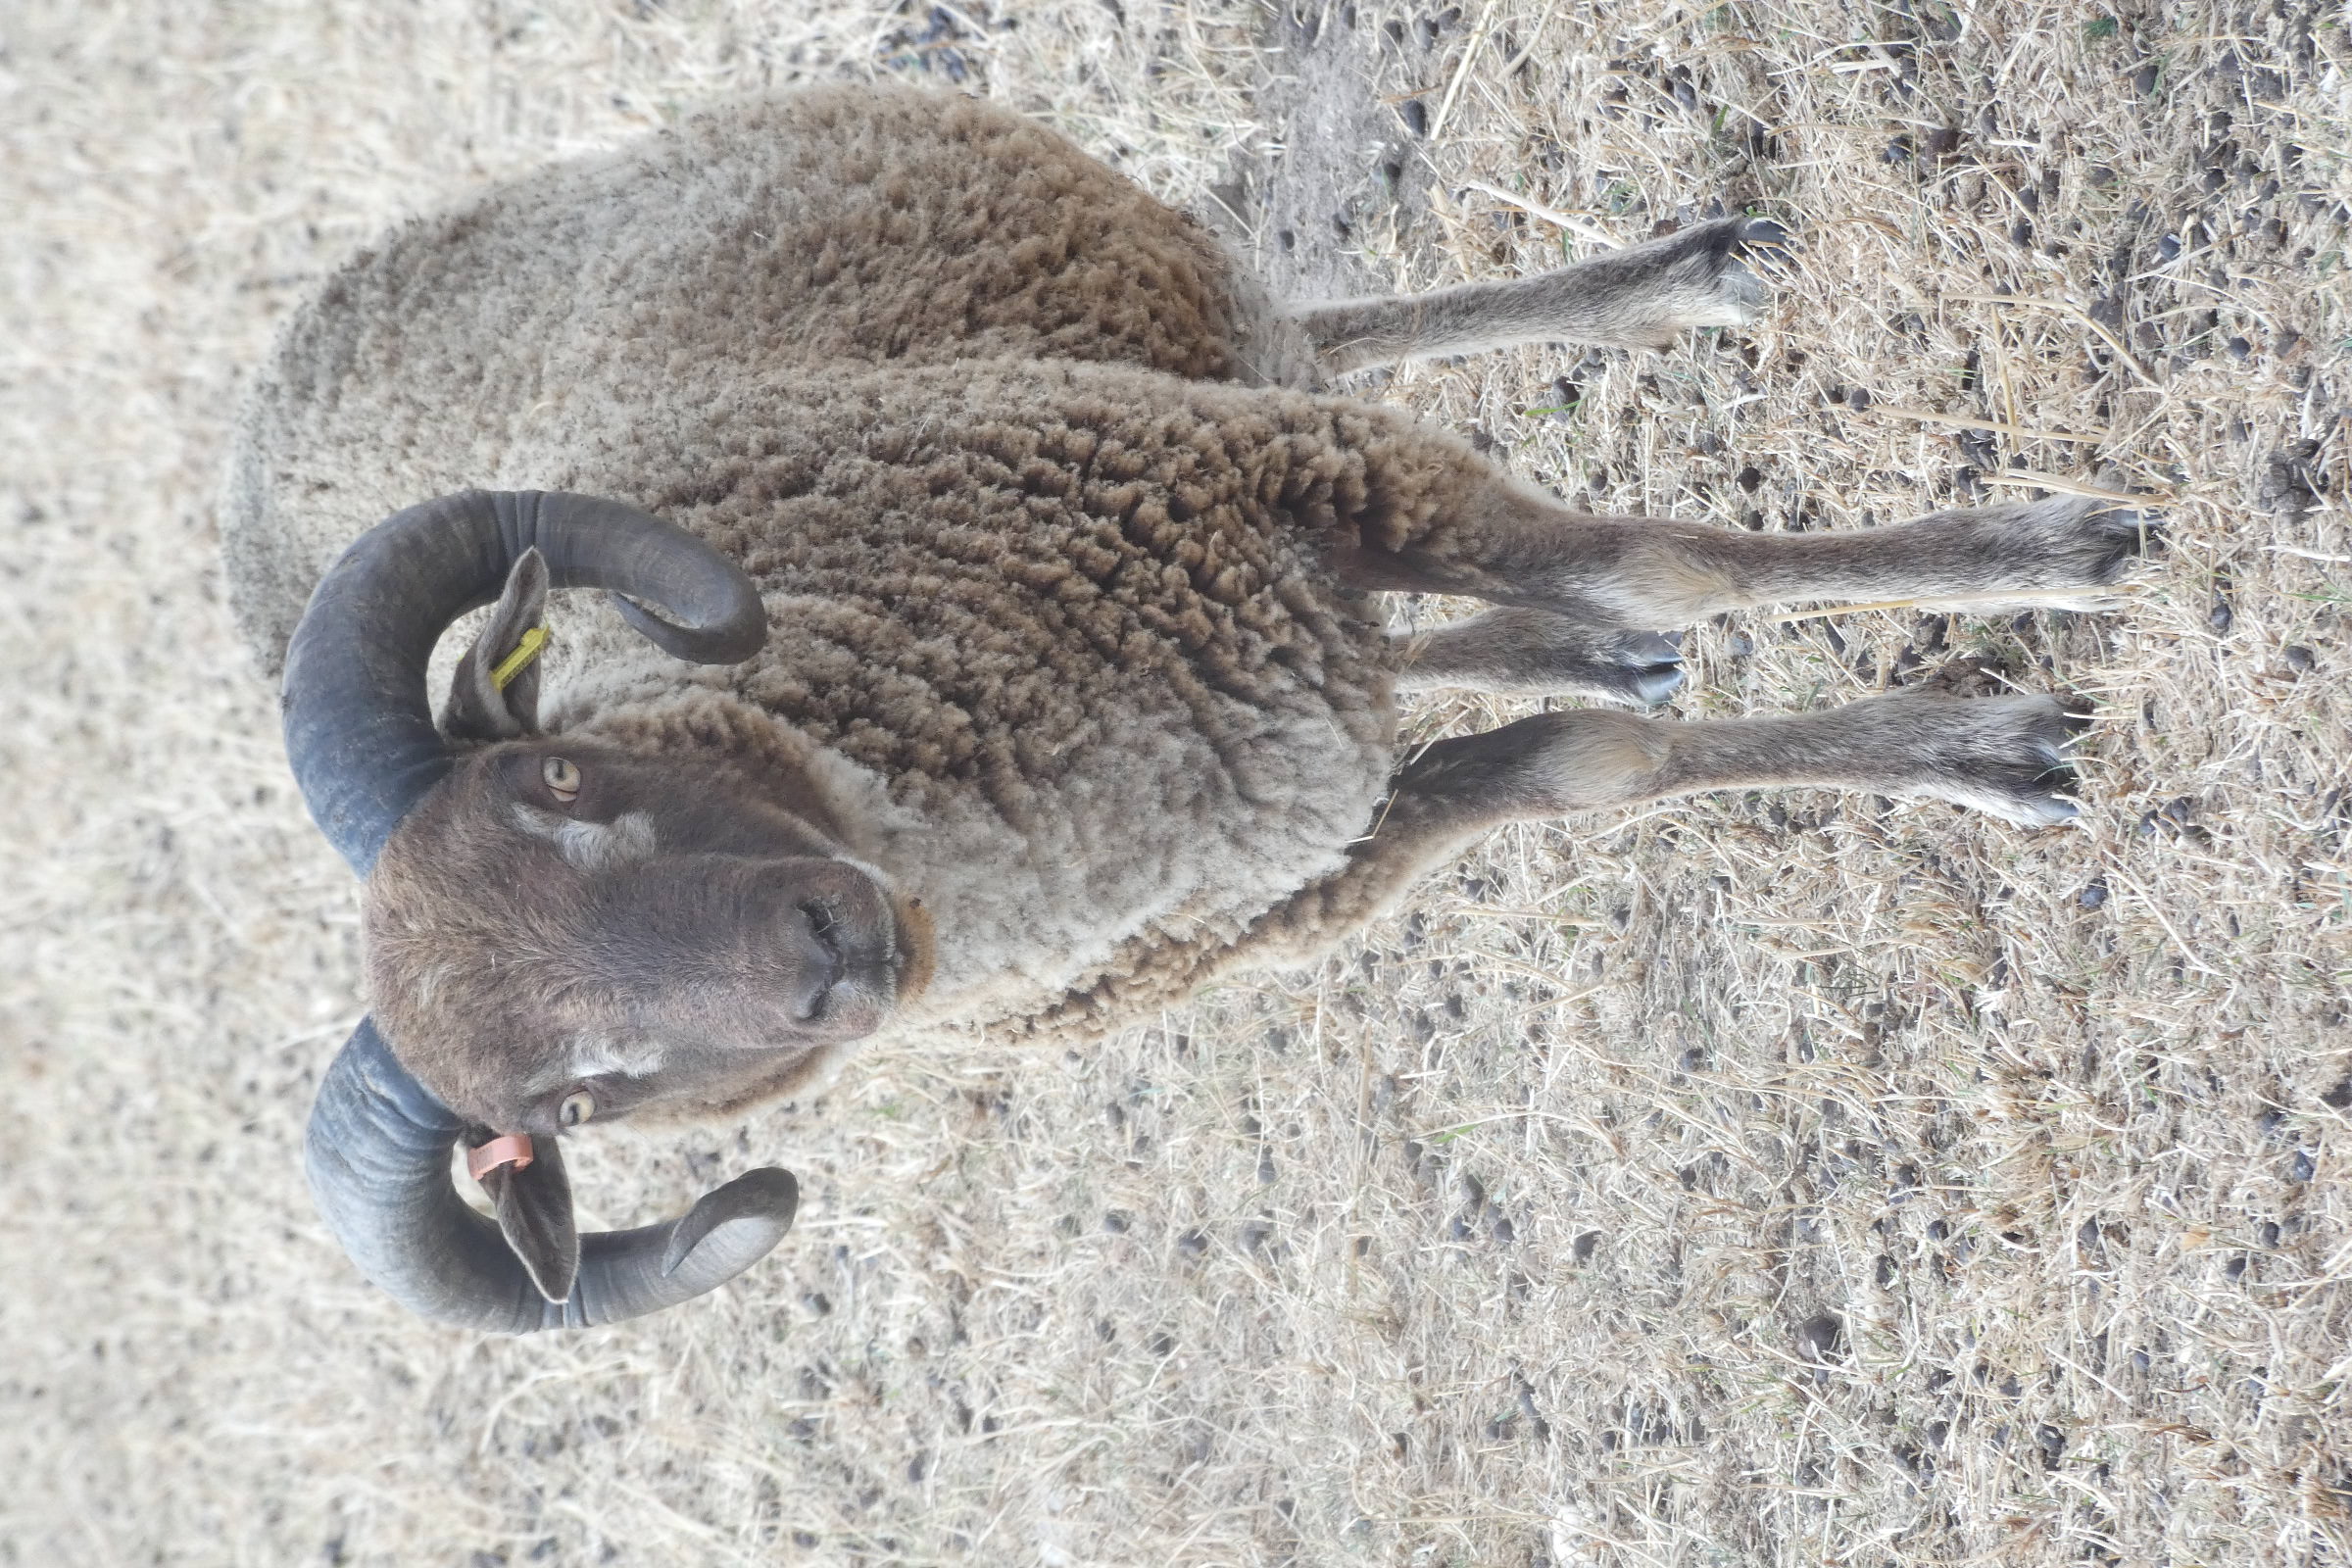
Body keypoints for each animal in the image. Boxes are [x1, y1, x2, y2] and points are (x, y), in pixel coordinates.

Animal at [226, 85, 2152, 1331]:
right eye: (575, 1110)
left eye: (561, 777)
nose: (827, 956)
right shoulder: (1338, 835)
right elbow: (1594, 755)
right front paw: (1981, 736)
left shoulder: (1295, 480)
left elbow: (1656, 569)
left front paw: (2045, 573)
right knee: (1364, 446)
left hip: (1178, 331)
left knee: (1335, 328)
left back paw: (1693, 277)